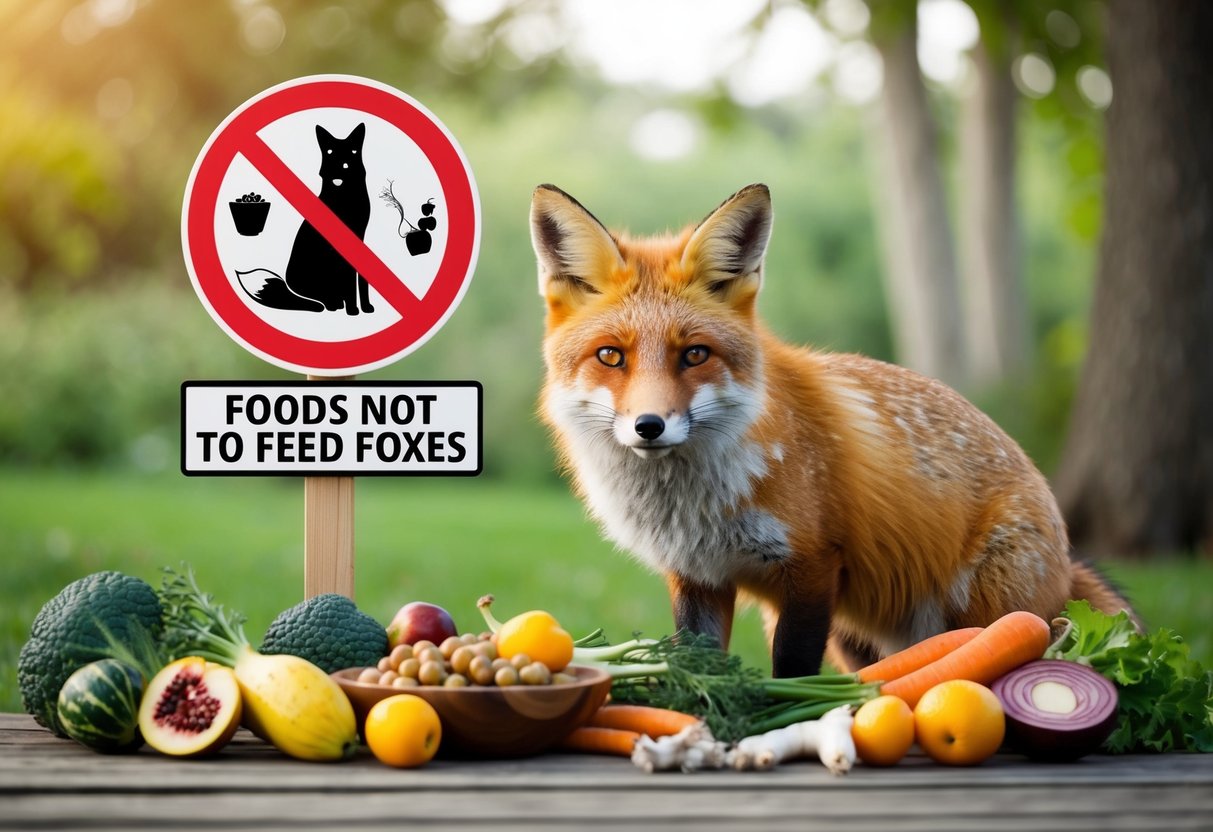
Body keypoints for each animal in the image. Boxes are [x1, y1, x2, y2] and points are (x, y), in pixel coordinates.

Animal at [531, 182, 1133, 678]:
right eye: (611, 356)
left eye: (695, 354)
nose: (649, 426)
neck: (695, 506)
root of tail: (1066, 552)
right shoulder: (698, 577)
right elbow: (700, 670)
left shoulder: (813, 568)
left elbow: (791, 677)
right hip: (854, 638)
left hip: (977, 616)